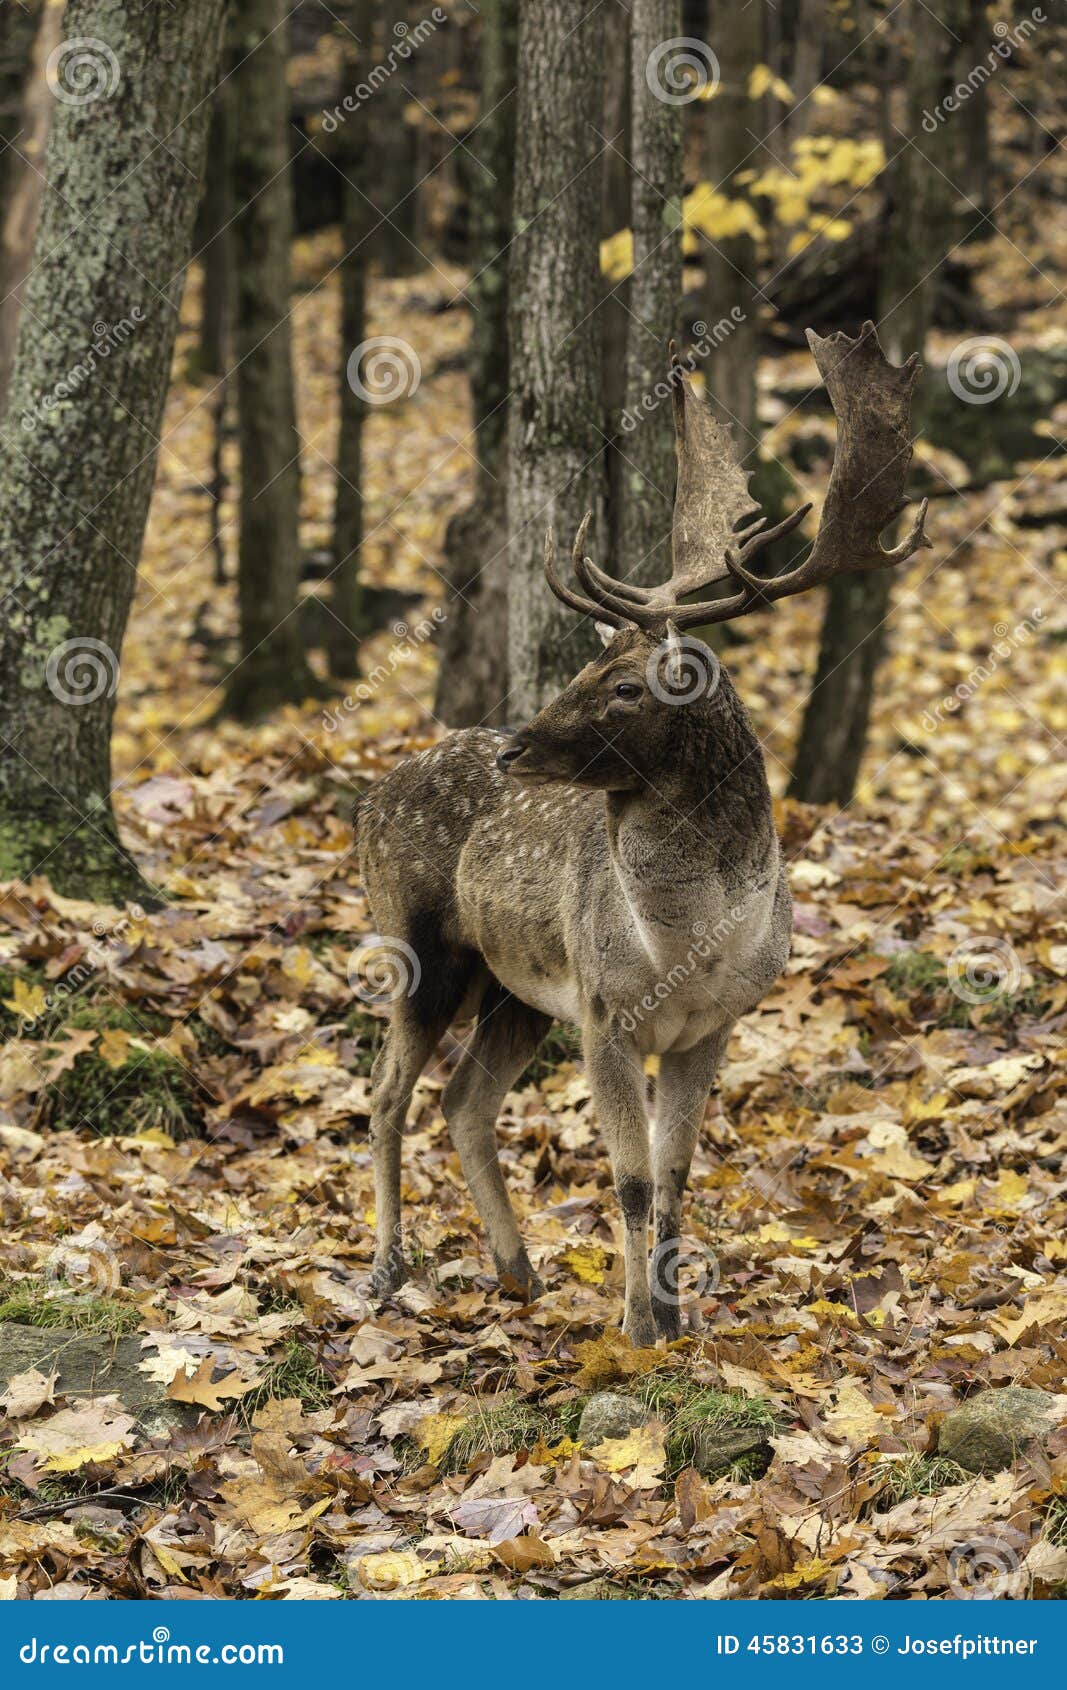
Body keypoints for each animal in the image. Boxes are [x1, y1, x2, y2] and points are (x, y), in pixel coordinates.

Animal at [355, 322, 928, 1345]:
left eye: (627, 686)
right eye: (590, 666)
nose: (515, 747)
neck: (683, 951)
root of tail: (368, 798)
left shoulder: (713, 1025)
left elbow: (673, 1175)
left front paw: (673, 1317)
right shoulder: (606, 1011)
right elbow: (623, 1178)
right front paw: (634, 1329)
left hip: (514, 991)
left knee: (461, 1101)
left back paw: (517, 1272)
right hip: (420, 943)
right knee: (385, 1096)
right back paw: (387, 1268)